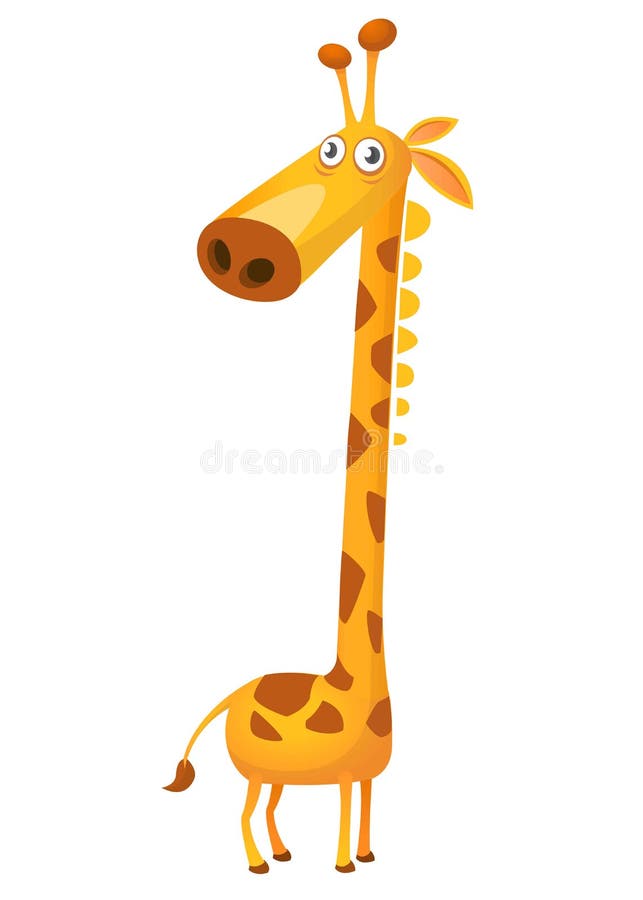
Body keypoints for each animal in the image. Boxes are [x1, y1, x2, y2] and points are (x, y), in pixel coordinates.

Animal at [164, 18, 472, 874]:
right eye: (323, 147)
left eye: (369, 156)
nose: (241, 247)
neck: (348, 682)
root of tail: (233, 694)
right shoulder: (341, 775)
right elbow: (339, 812)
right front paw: (339, 864)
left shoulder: (360, 778)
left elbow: (358, 811)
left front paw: (358, 863)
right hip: (252, 767)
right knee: (247, 808)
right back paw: (261, 860)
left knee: (264, 806)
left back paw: (279, 853)